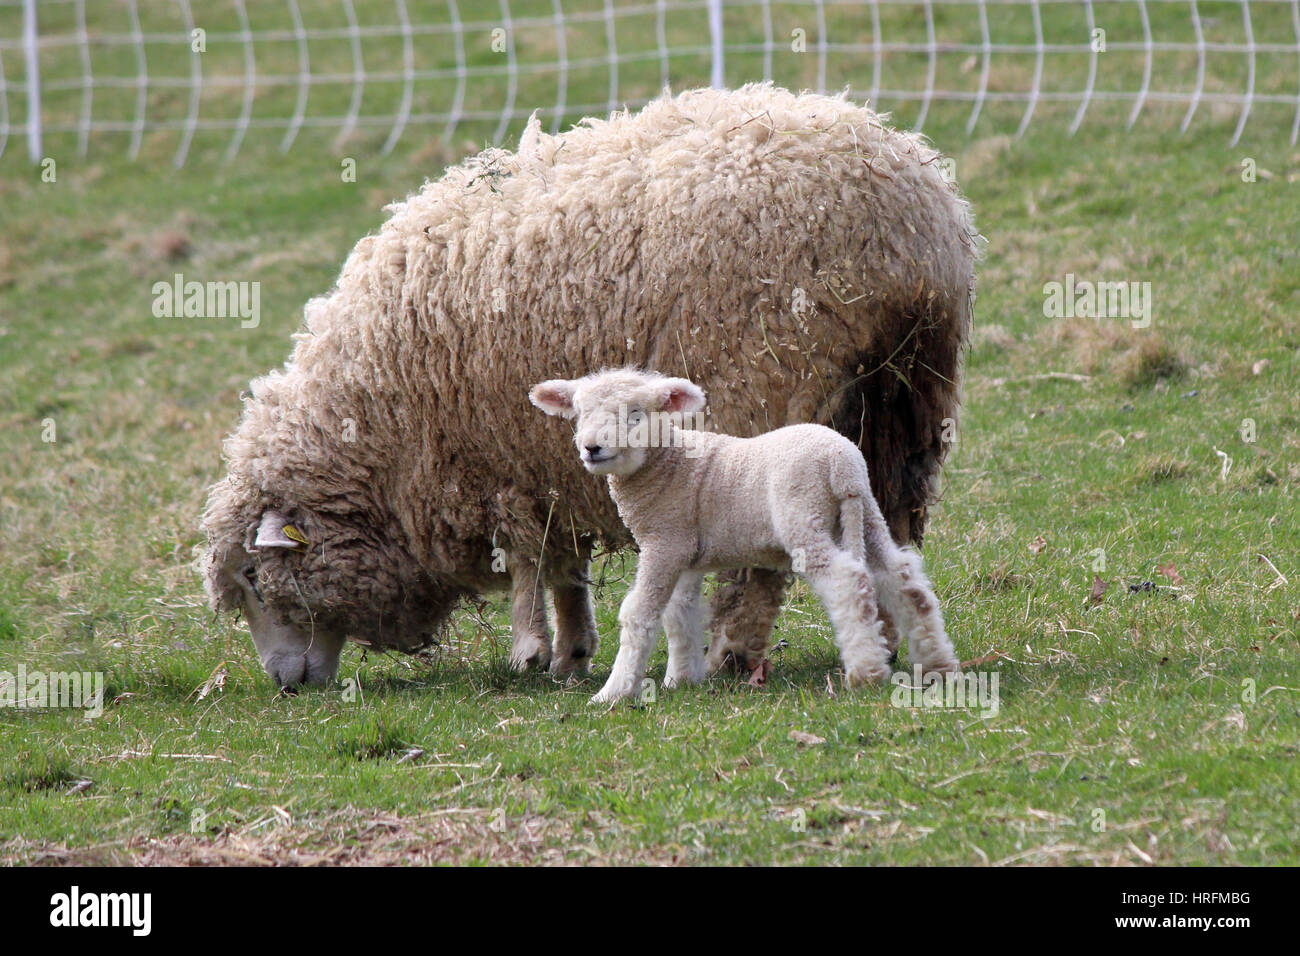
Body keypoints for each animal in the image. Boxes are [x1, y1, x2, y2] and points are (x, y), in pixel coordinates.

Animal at [530, 368, 961, 704]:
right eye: (580, 413)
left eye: (635, 414)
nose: (592, 448)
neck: (668, 463)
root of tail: (844, 465)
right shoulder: (685, 552)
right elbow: (679, 612)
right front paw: (680, 679)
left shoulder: (665, 542)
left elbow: (640, 613)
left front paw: (613, 692)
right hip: (866, 515)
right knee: (903, 577)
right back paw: (937, 665)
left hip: (805, 516)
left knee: (847, 580)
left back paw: (866, 672)